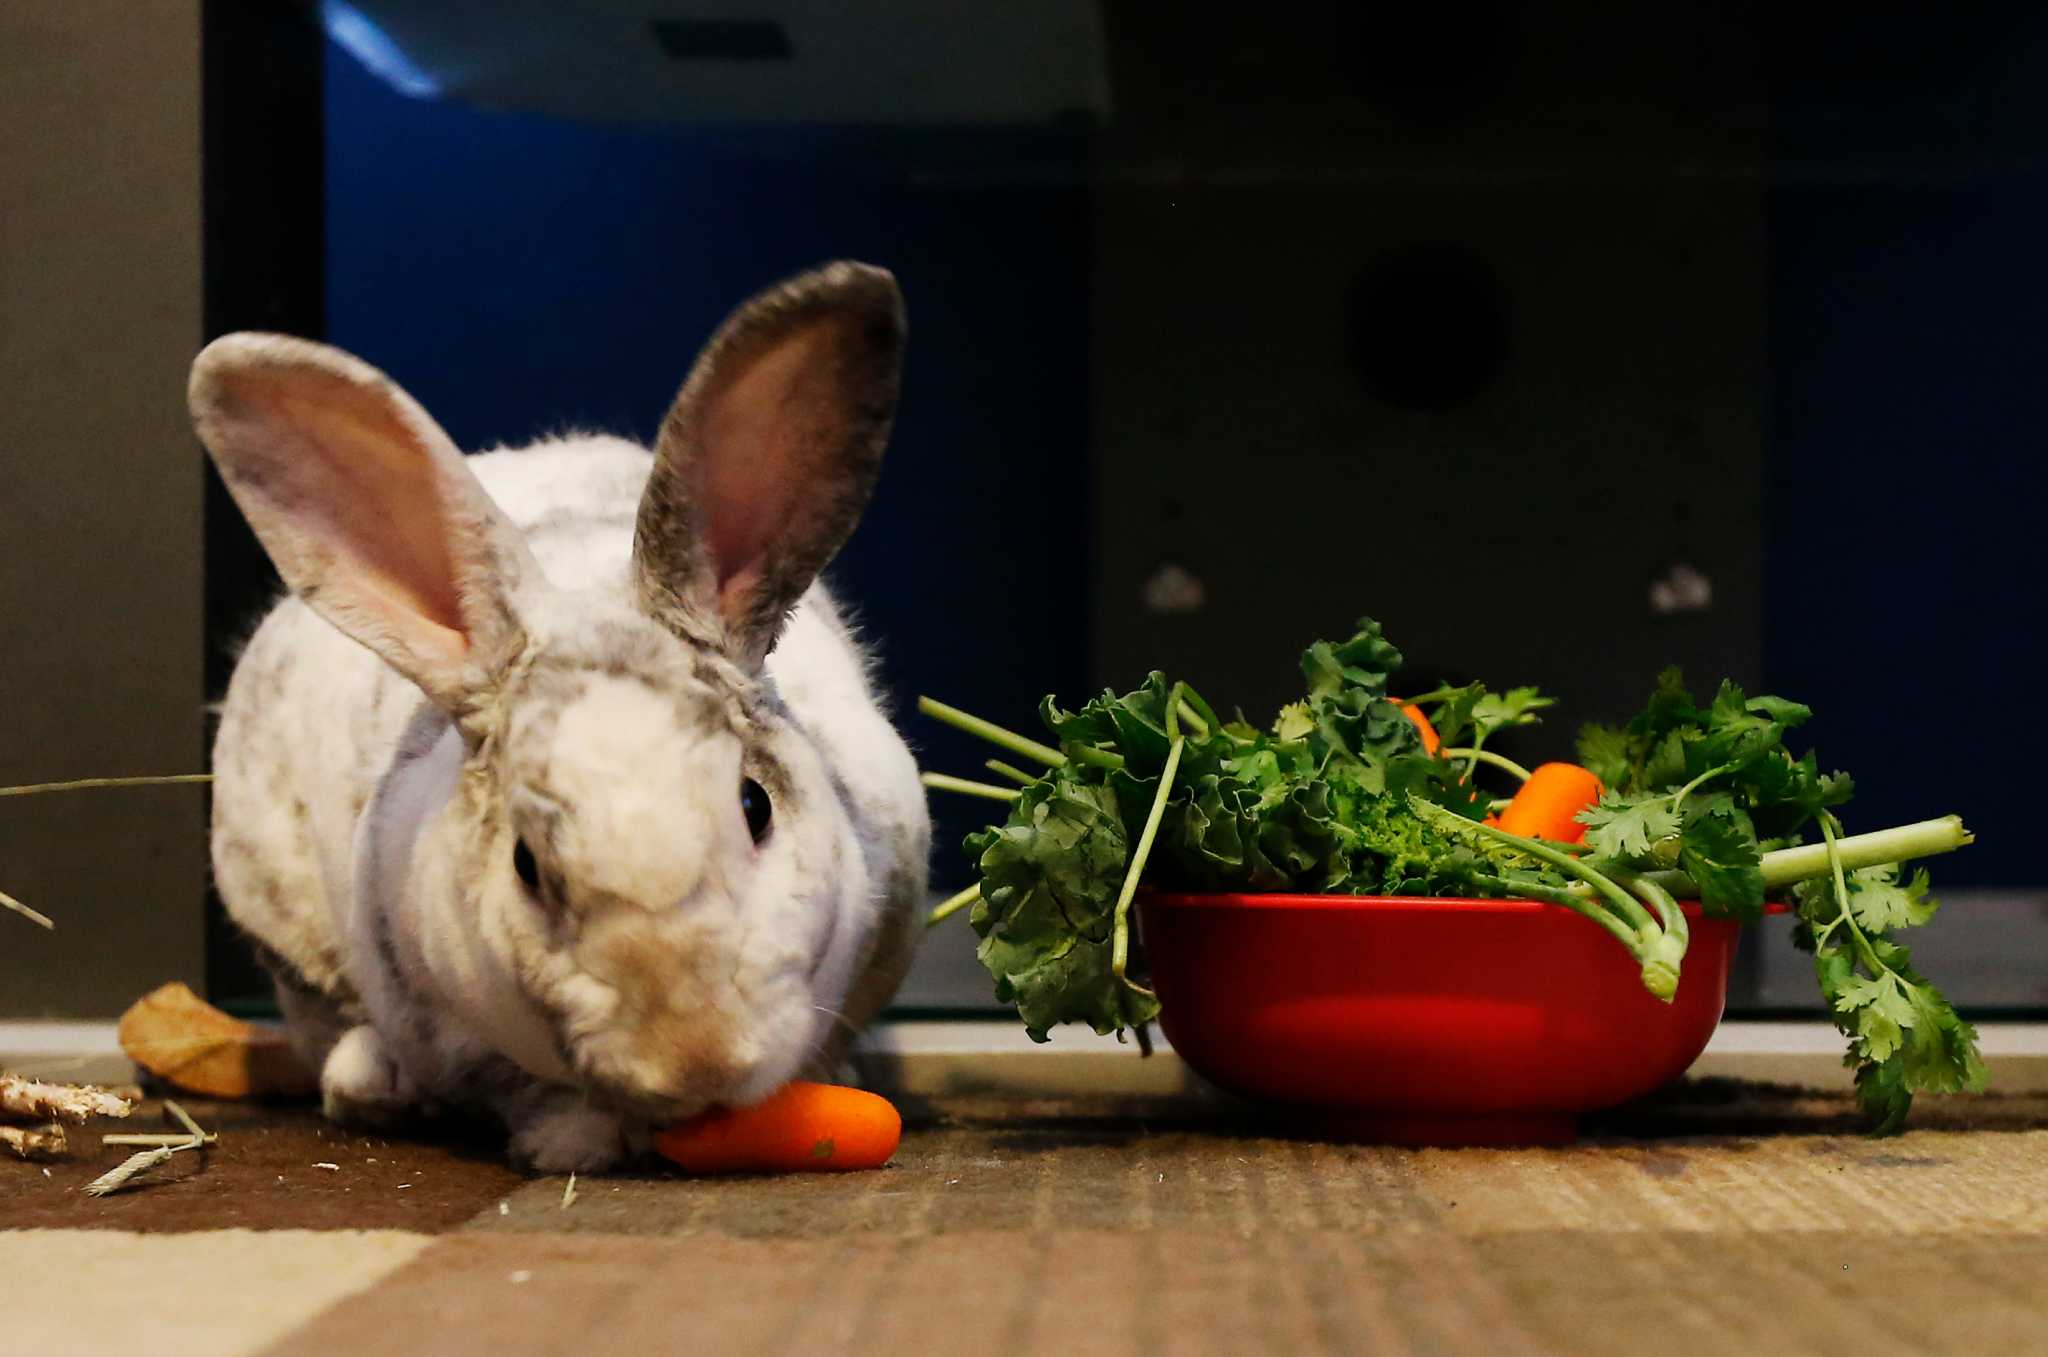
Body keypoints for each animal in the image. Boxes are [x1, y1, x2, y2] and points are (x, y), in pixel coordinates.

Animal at [189, 261, 931, 1172]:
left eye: (754, 805)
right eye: (525, 864)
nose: (695, 1058)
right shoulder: (446, 1028)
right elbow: (522, 1090)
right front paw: (572, 1140)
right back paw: (370, 1080)